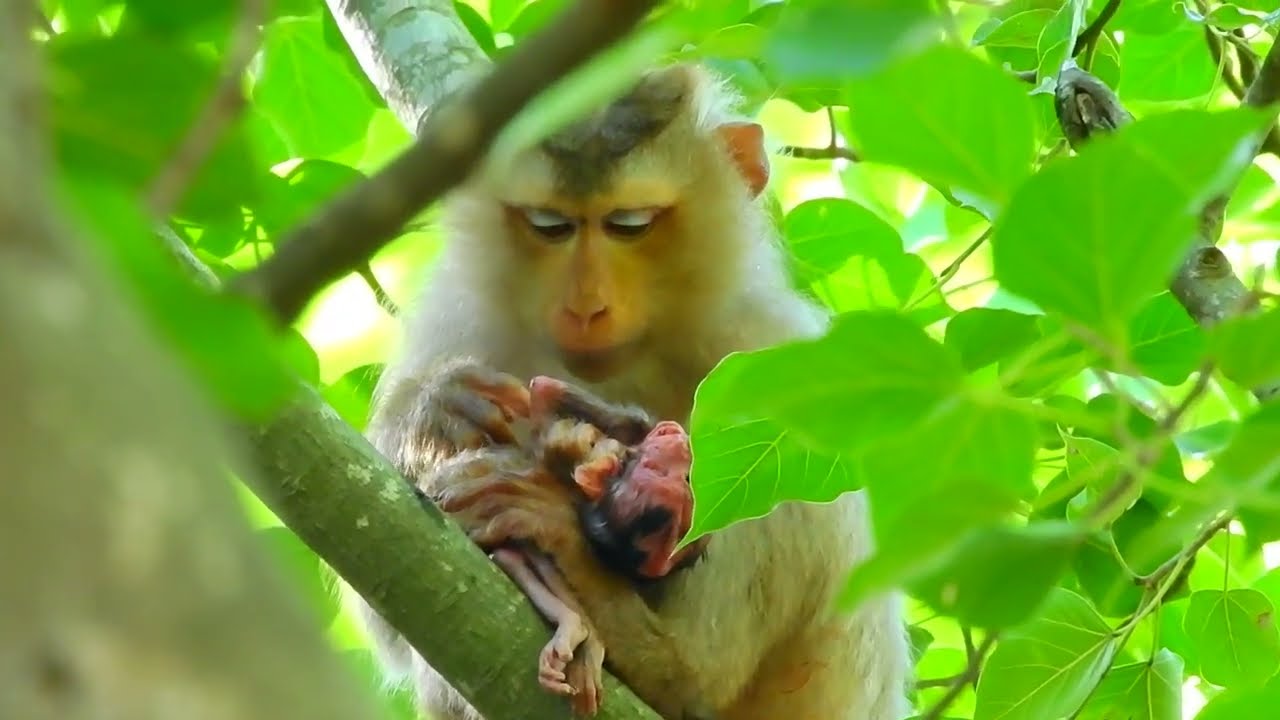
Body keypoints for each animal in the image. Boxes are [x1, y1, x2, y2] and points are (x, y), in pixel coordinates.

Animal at [350, 62, 913, 720]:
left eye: (629, 225)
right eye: (551, 226)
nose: (586, 308)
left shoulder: (771, 353)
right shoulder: (457, 319)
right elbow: (394, 591)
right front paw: (441, 410)